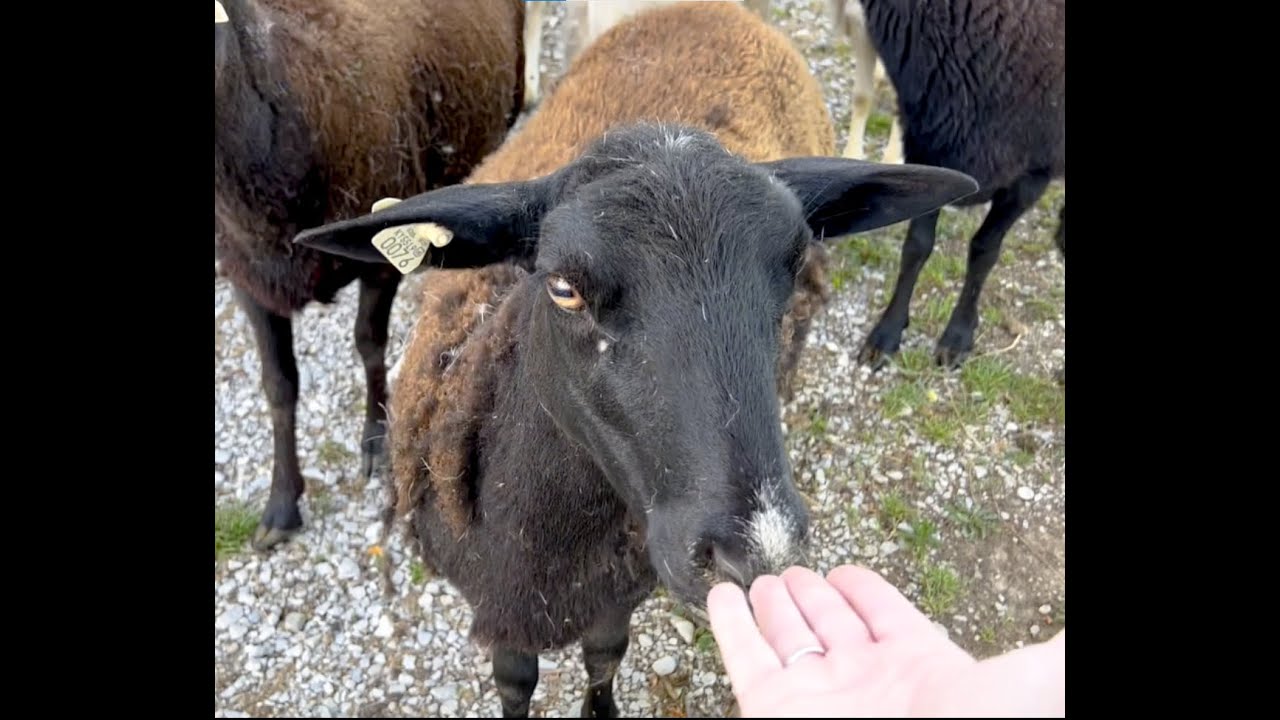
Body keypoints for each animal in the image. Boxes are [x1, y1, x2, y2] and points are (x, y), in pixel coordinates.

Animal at [213, 0, 526, 551]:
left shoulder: (379, 256)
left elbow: (368, 343)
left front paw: (376, 441)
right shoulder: (248, 279)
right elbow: (278, 385)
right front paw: (281, 505)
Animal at [293, 2, 977, 716]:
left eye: (793, 267)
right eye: (563, 287)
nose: (755, 553)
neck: (551, 543)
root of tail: (714, 10)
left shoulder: (620, 584)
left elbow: (604, 655)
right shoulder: (504, 605)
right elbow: (515, 680)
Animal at [851, 0, 1067, 370]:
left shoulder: (1032, 174)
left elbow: (983, 251)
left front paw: (957, 337)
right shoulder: (929, 147)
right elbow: (917, 246)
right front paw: (887, 333)